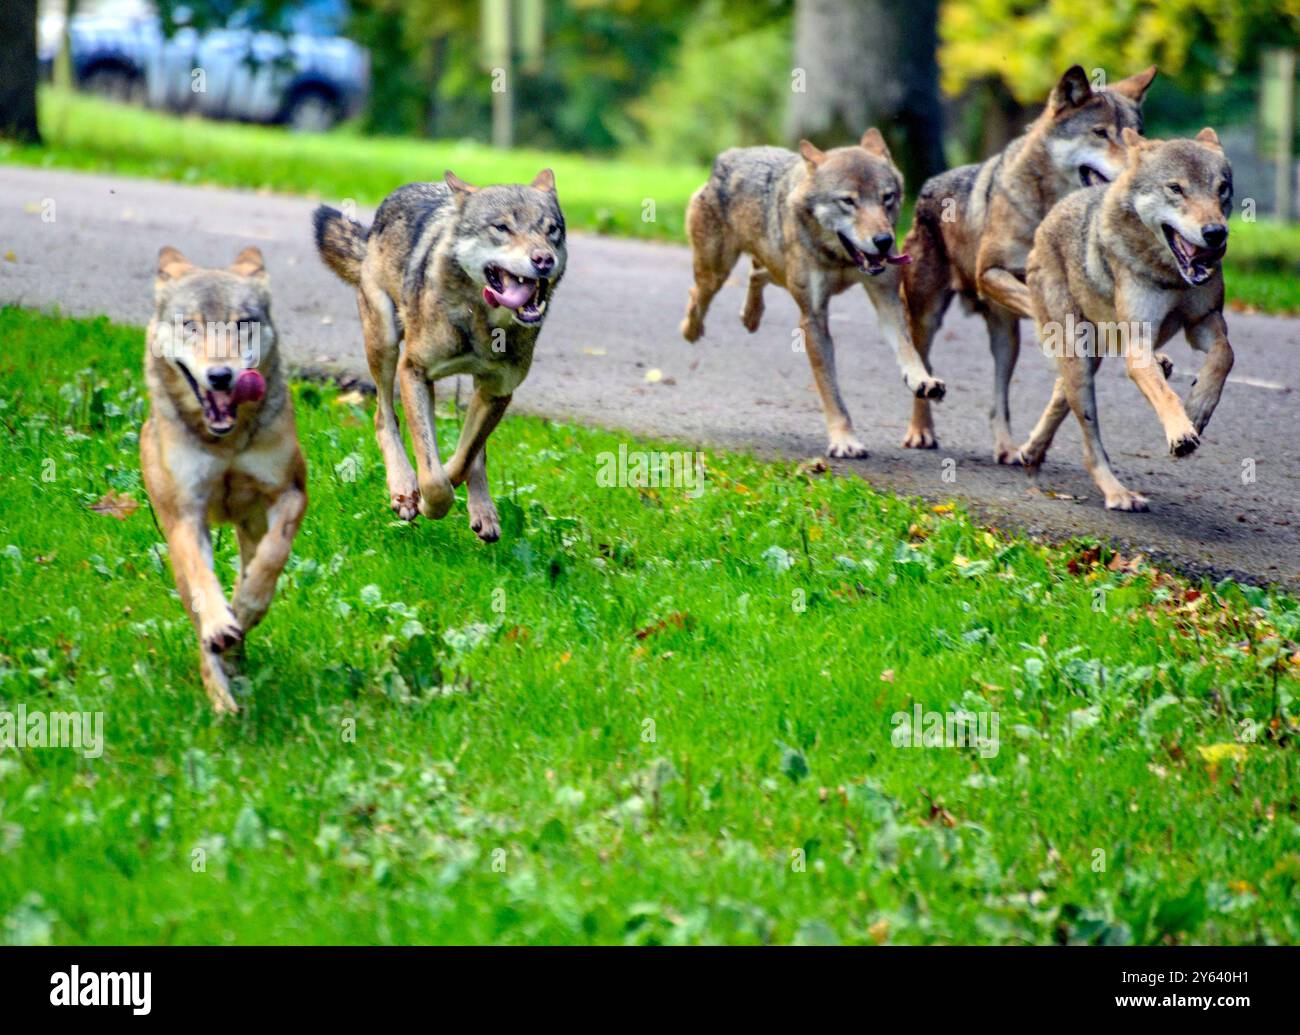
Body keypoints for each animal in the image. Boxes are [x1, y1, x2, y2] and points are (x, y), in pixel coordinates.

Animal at [140, 246, 307, 713]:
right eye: (192, 325)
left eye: (242, 323)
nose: (220, 376)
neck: (225, 444)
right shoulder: (186, 516)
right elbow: (203, 583)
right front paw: (220, 627)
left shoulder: (291, 492)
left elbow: (272, 559)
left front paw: (246, 607)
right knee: (199, 613)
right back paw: (222, 697)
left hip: (249, 529)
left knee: (252, 568)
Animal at [313, 171, 564, 540]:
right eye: (501, 228)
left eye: (552, 230)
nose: (544, 259)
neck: (483, 323)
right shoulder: (414, 371)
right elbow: (433, 476)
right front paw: (425, 500)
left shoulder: (498, 391)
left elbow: (463, 458)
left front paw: (457, 490)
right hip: (384, 344)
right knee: (383, 417)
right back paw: (403, 486)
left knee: (475, 453)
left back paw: (483, 511)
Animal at [681, 130, 943, 458]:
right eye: (848, 201)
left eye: (887, 198)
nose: (883, 241)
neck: (840, 259)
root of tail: (729, 156)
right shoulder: (813, 318)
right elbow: (830, 391)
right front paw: (845, 441)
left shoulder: (886, 298)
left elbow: (908, 349)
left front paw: (922, 380)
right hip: (716, 274)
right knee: (697, 296)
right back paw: (691, 330)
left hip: (775, 271)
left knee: (755, 273)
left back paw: (751, 316)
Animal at [901, 65, 1157, 460]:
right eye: (1100, 133)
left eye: (1137, 135)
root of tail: (926, 189)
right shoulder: (990, 272)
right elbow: (1039, 305)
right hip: (927, 317)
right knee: (924, 367)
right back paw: (921, 432)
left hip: (1006, 339)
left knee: (998, 402)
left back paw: (1007, 449)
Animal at [1018, 128, 1234, 510]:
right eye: (1176, 188)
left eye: (1221, 188)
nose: (1215, 233)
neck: (1169, 274)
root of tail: (1055, 212)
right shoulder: (1138, 344)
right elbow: (1165, 396)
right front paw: (1181, 432)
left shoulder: (1204, 320)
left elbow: (1224, 355)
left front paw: (1198, 409)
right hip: (1079, 360)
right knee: (1090, 446)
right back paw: (1118, 494)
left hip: (1091, 358)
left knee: (1060, 392)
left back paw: (1032, 451)